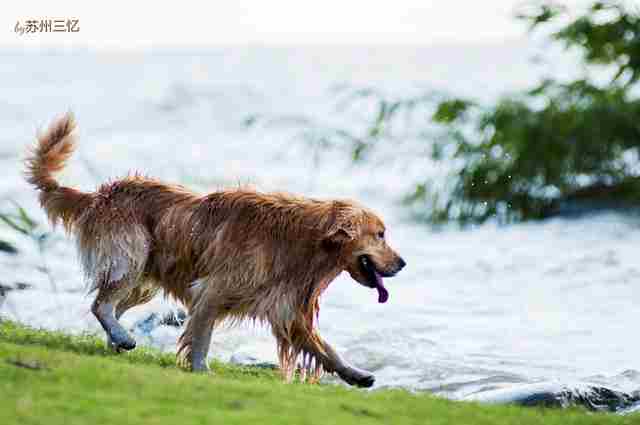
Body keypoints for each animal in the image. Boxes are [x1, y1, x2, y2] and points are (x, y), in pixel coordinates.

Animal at [26, 113, 404, 388]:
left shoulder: (288, 309)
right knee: (101, 304)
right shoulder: (213, 290)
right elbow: (201, 336)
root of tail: (101, 194)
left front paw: (356, 374)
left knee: (111, 307)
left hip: (143, 281)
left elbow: (326, 348)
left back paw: (117, 340)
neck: (302, 240)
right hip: (130, 257)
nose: (402, 263)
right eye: (380, 234)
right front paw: (200, 370)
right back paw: (122, 338)